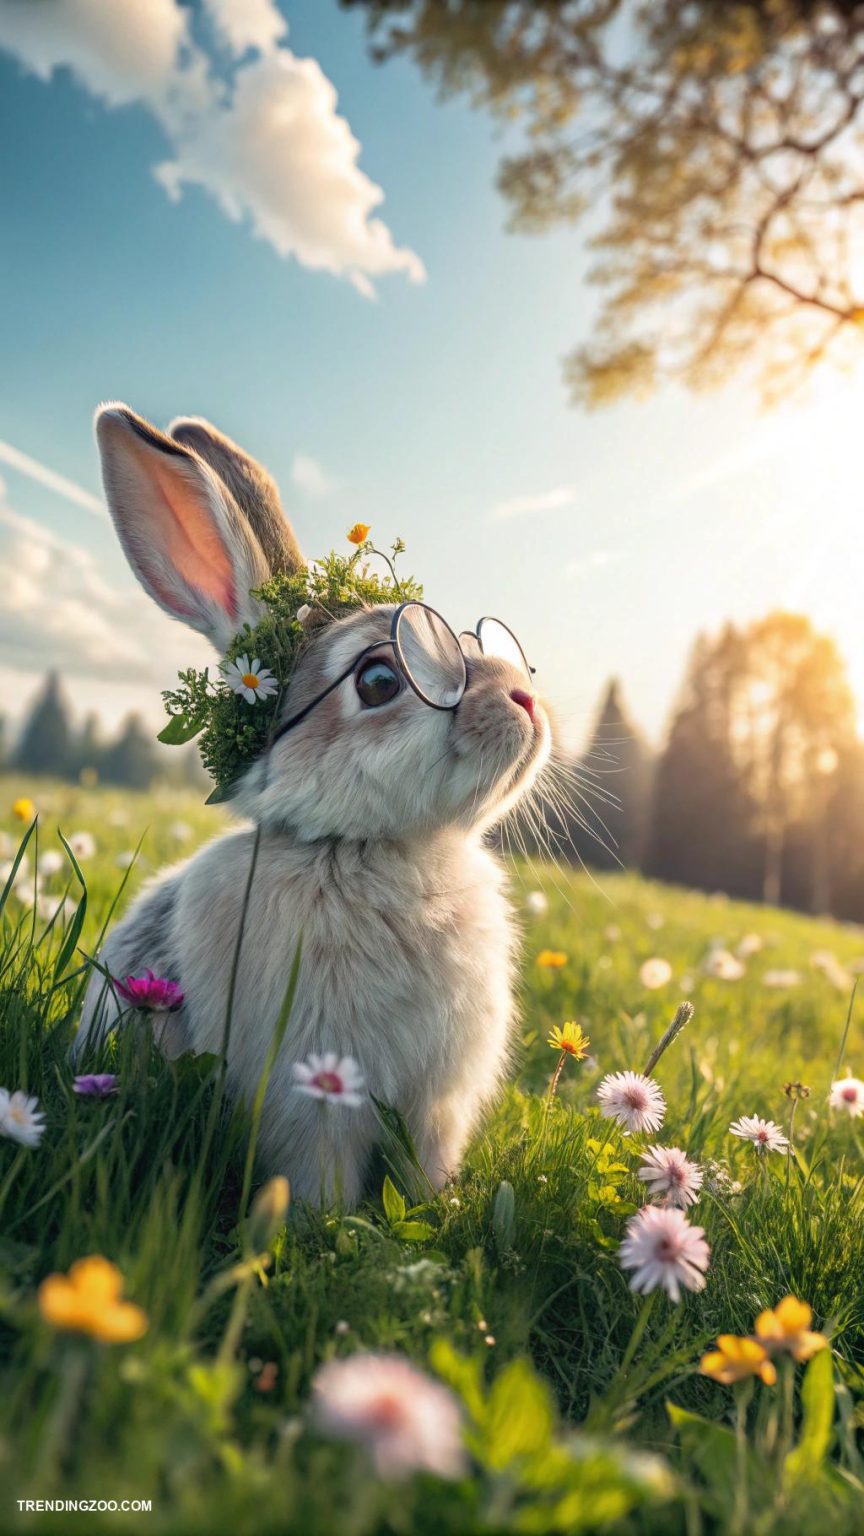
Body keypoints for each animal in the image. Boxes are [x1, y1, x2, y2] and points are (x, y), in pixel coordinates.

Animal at [75, 404, 551, 1207]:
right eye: (381, 679)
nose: (526, 699)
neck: (370, 848)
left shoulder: (437, 1109)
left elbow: (424, 1171)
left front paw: (431, 1210)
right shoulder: (312, 1098)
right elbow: (316, 1175)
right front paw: (316, 1225)